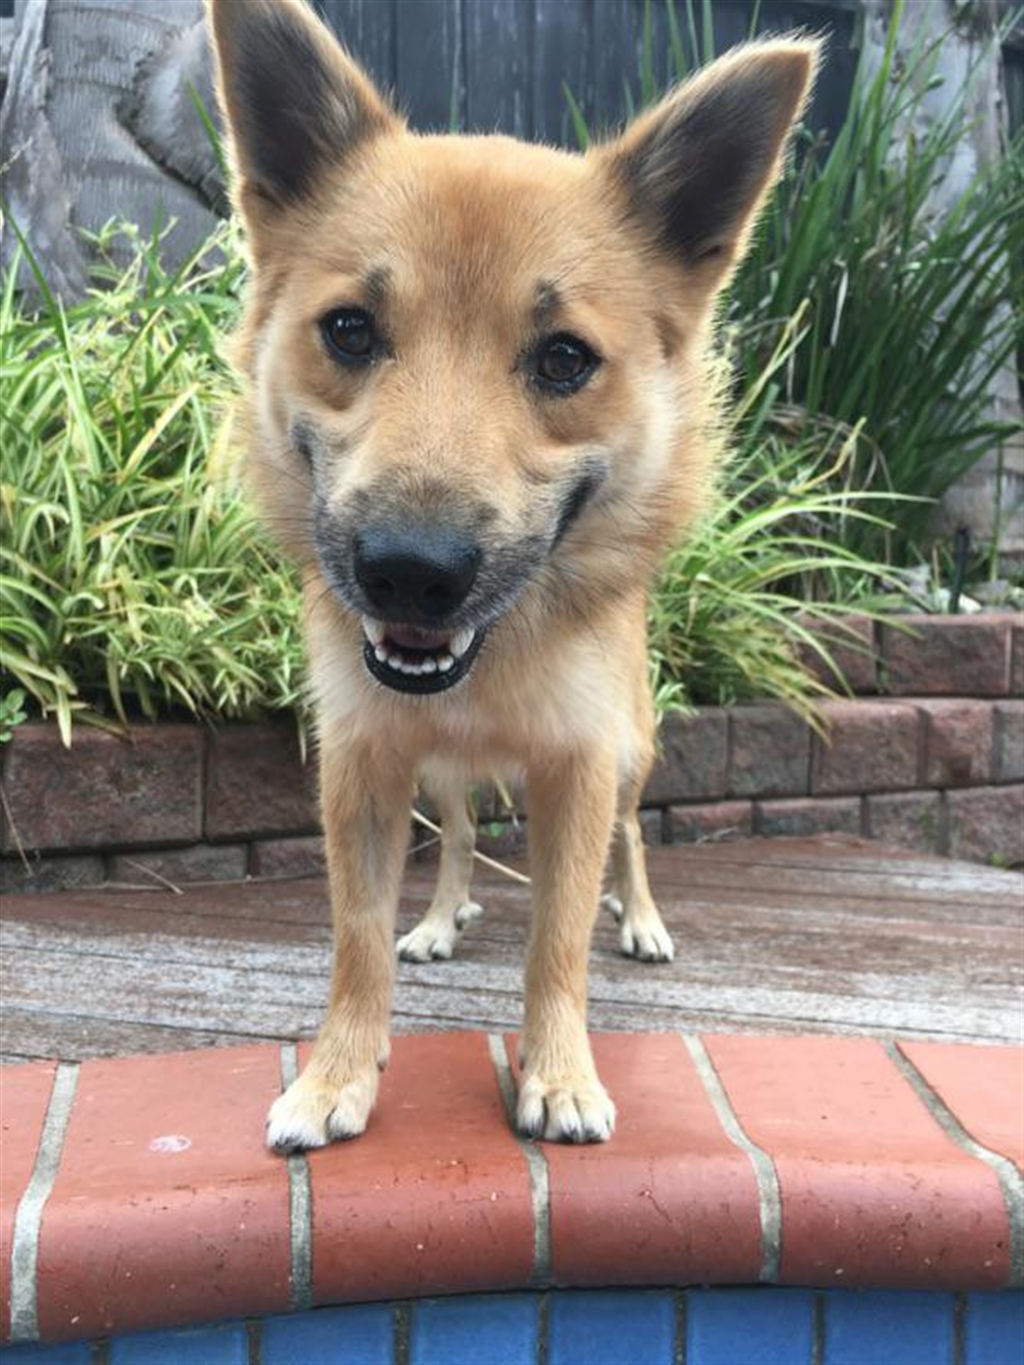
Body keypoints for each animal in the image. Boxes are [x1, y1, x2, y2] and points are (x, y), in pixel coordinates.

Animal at [207, 0, 818, 1150]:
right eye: (349, 329)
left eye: (564, 359)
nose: (409, 573)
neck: (491, 662)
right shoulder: (361, 763)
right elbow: (357, 935)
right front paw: (338, 1073)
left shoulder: (576, 770)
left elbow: (558, 938)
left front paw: (561, 1072)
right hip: (442, 773)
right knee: (451, 838)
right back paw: (443, 916)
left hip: (631, 753)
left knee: (631, 842)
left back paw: (642, 918)